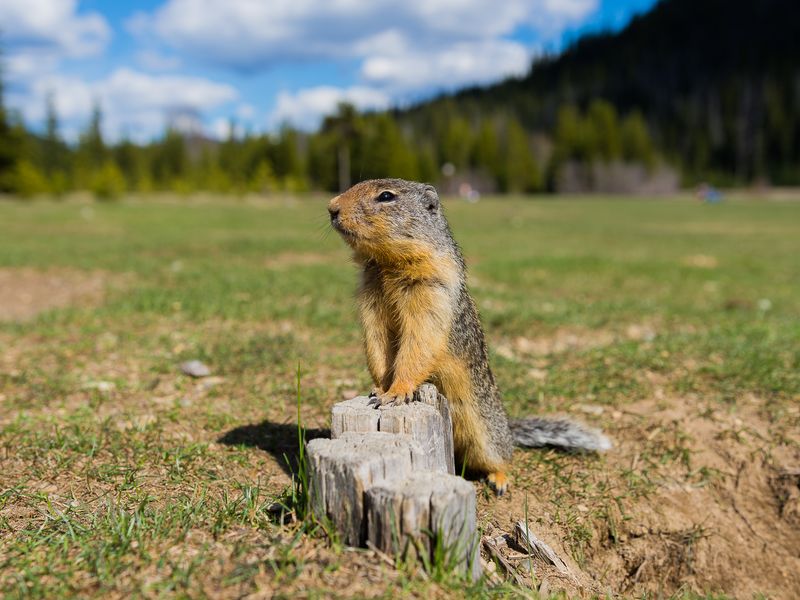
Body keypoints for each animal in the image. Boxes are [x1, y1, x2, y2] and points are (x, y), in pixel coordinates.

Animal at [327, 178, 611, 494]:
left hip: (485, 434)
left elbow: (418, 343)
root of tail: (507, 427)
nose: (332, 207)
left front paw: (397, 391)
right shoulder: (370, 299)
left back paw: (499, 479)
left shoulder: (431, 292)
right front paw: (379, 388)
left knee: (502, 456)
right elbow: (376, 343)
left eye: (386, 196)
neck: (386, 265)